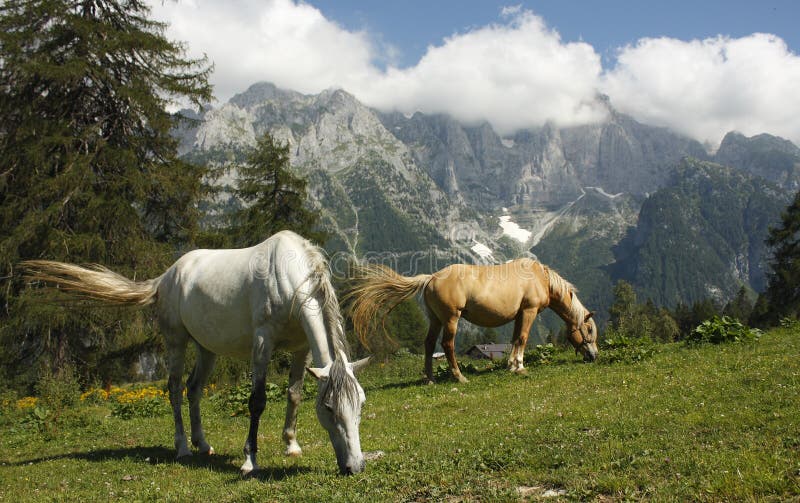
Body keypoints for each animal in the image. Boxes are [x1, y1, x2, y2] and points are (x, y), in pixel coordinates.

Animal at [21, 230, 369, 476]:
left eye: (361, 404)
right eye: (329, 408)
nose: (354, 467)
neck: (286, 277)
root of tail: (166, 276)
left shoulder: (300, 350)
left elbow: (294, 394)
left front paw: (291, 445)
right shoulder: (262, 342)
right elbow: (256, 402)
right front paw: (249, 461)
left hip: (207, 349)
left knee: (194, 388)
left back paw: (203, 444)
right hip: (175, 341)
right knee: (175, 389)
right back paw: (183, 448)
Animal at [346, 258, 597, 384]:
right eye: (589, 331)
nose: (594, 356)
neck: (539, 277)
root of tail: (431, 278)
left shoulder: (519, 315)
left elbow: (516, 339)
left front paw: (511, 365)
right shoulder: (529, 311)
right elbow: (523, 339)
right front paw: (520, 367)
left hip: (436, 320)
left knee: (429, 345)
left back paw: (430, 379)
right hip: (451, 319)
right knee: (447, 345)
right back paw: (459, 377)